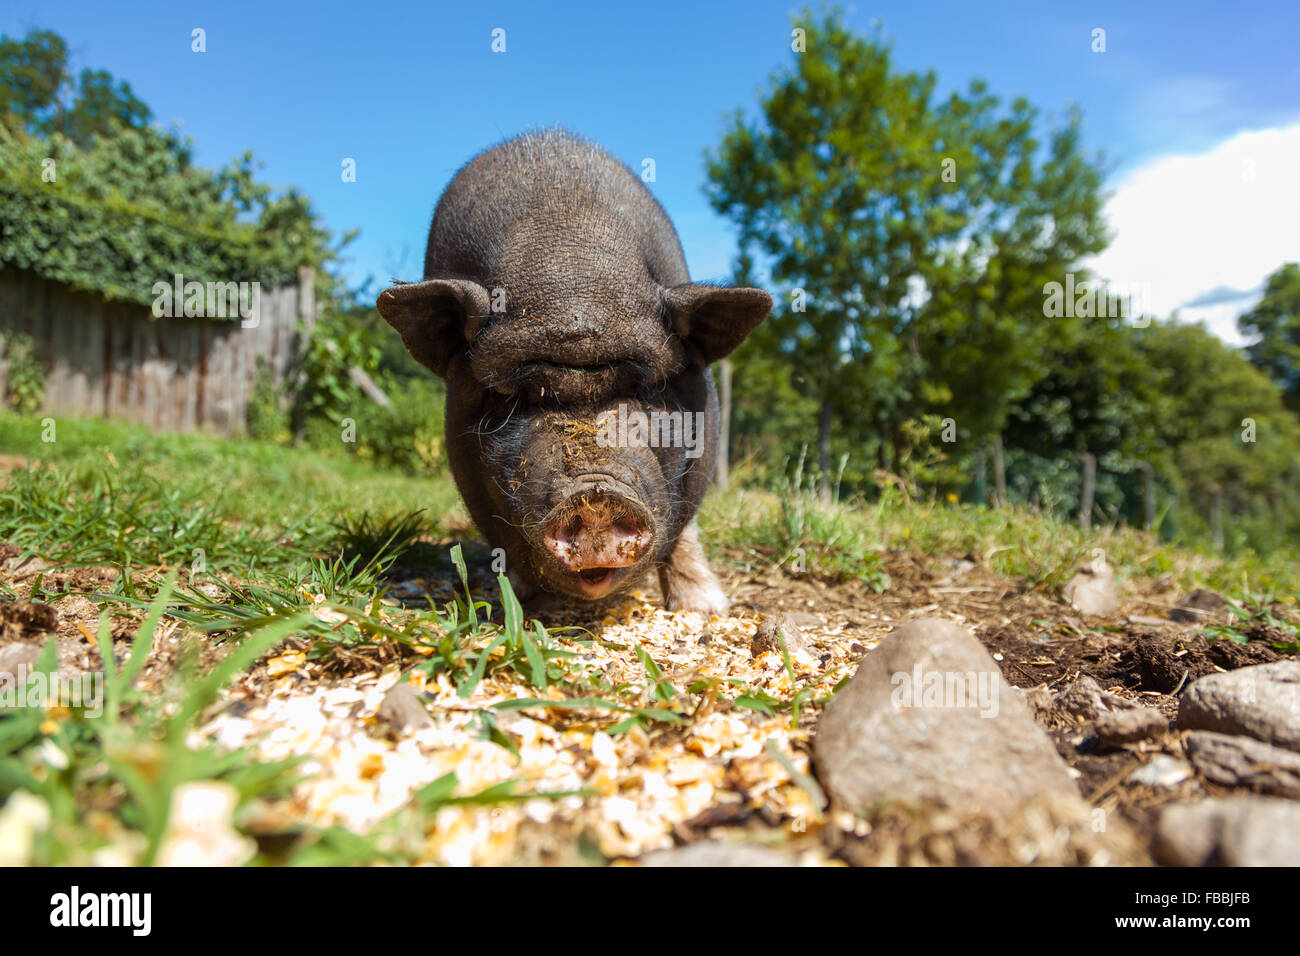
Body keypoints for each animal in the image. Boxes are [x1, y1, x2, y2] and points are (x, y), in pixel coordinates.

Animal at [376, 129, 771, 615]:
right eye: (513, 395)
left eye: (648, 385)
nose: (596, 494)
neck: (570, 264)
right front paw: (525, 606)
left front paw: (705, 609)